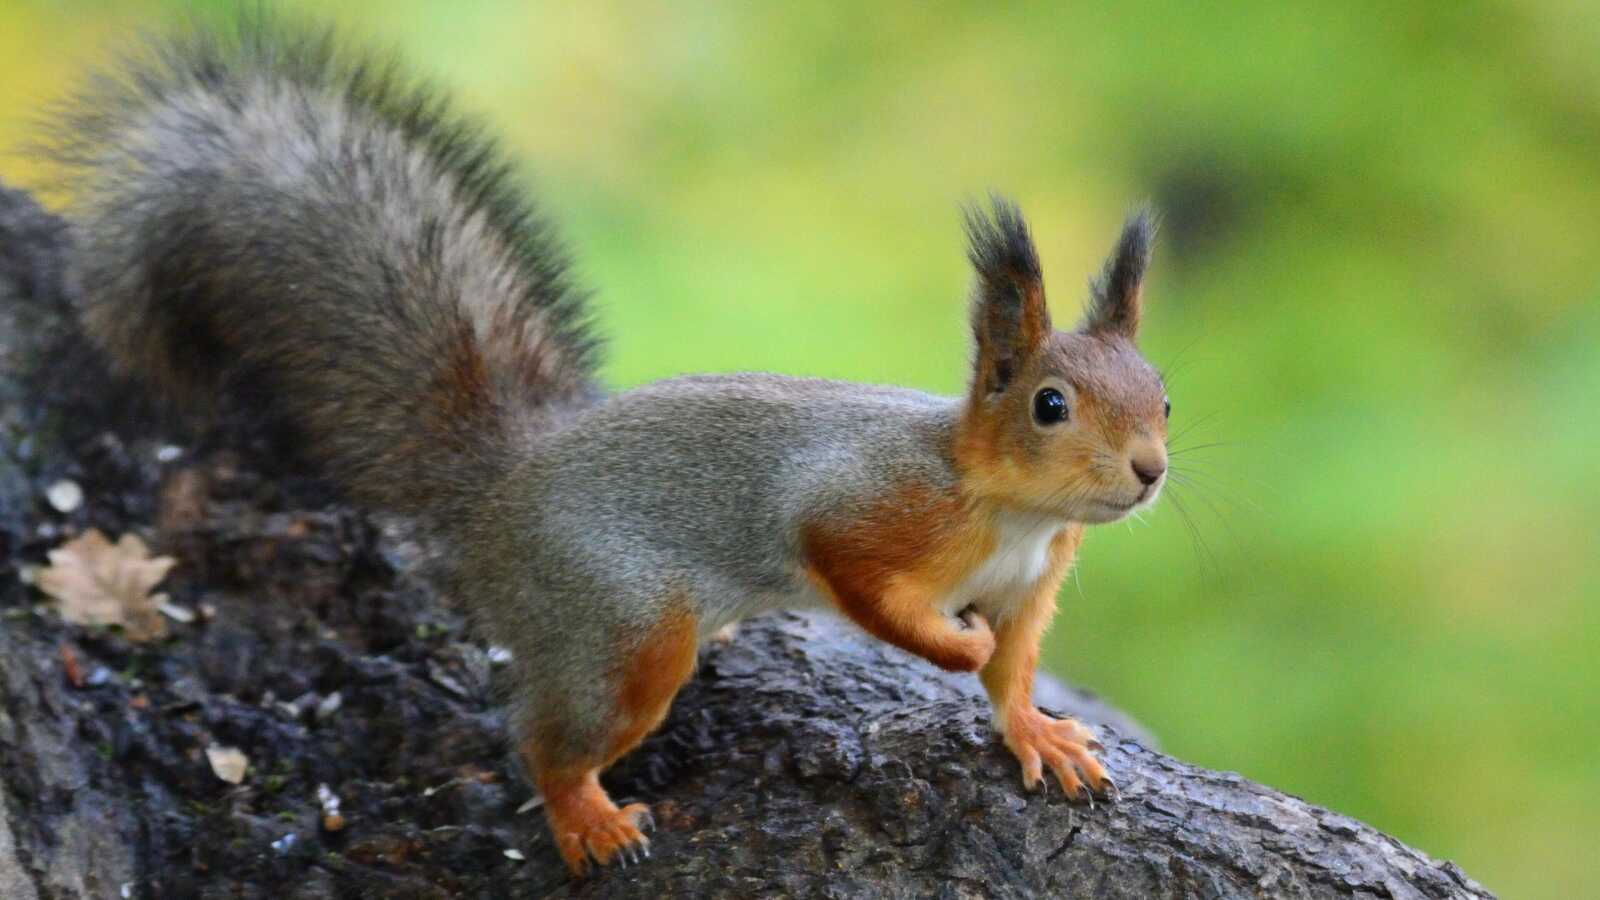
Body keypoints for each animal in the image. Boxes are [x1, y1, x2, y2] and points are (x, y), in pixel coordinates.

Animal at [43, 19, 1170, 875]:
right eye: (1050, 405)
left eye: (1161, 395)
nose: (1151, 472)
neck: (1012, 511)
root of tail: (499, 487)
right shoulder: (866, 504)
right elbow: (858, 577)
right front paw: (954, 646)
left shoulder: (1033, 582)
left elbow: (1015, 670)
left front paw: (1036, 729)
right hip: (619, 625)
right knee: (544, 738)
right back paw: (585, 816)